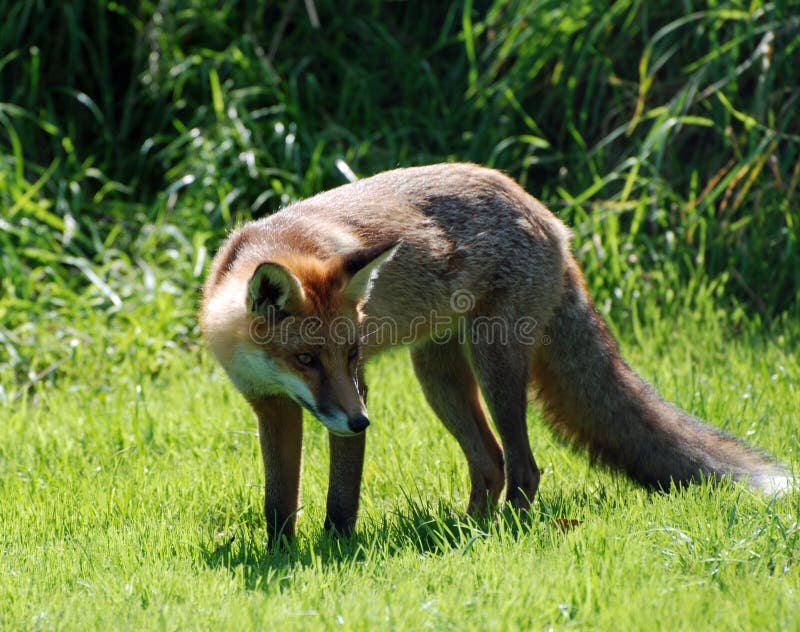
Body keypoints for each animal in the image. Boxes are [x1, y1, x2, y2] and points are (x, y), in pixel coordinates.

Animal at [200, 162, 790, 542]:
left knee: (523, 467)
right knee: (490, 462)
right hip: (438, 376)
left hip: (495, 366)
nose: (361, 421)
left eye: (351, 355)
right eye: (305, 359)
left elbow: (341, 498)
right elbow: (278, 502)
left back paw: (511, 532)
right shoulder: (271, 407)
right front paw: (281, 555)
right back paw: (470, 531)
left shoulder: (354, 394)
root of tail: (550, 219)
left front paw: (334, 550)